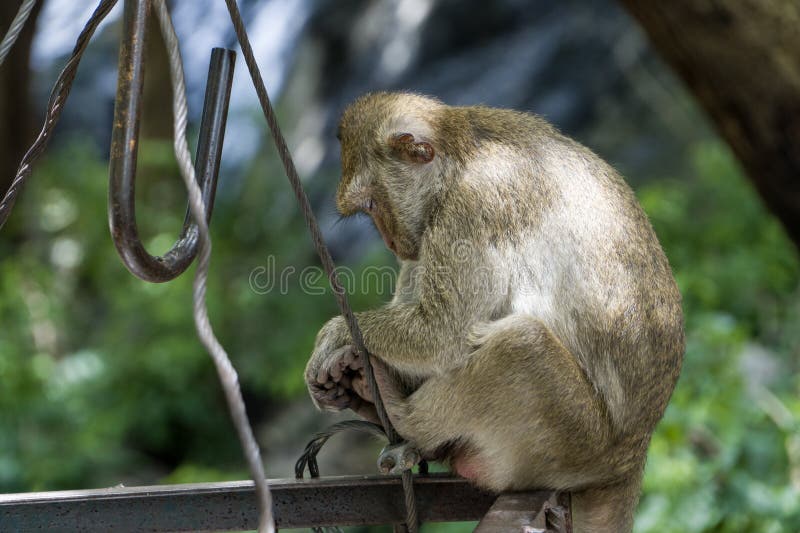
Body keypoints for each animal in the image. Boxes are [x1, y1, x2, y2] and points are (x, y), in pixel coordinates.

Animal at [304, 92, 684, 533]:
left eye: (371, 203)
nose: (390, 240)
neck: (463, 153)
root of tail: (631, 458)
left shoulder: (472, 205)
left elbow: (443, 334)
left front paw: (332, 336)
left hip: (575, 445)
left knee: (519, 344)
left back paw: (400, 411)